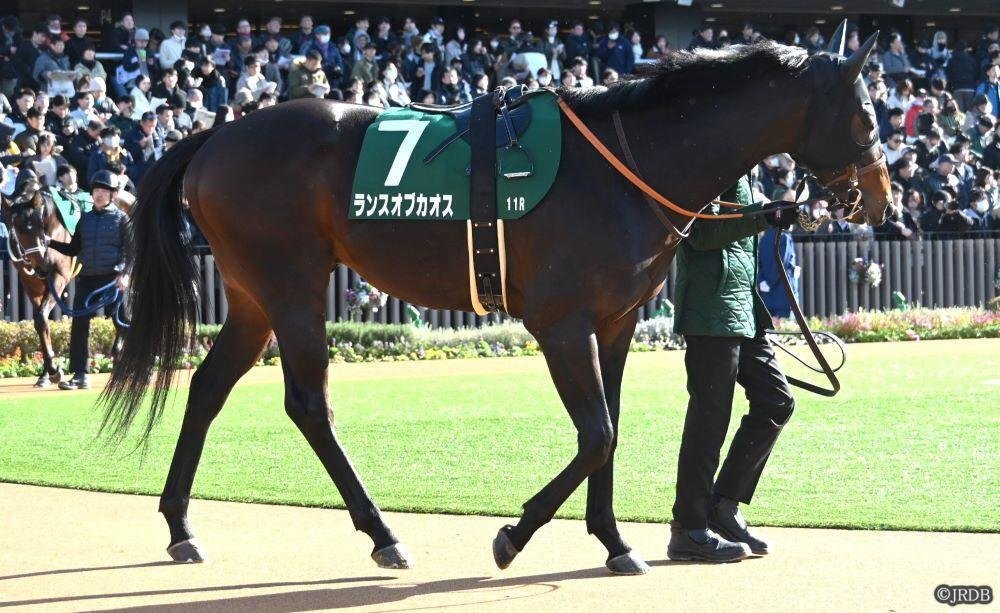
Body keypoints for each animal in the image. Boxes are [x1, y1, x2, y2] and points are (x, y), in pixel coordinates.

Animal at [1, 171, 74, 387]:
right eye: (18, 229)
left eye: (40, 225)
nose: (42, 265)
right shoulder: (31, 282)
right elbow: (40, 321)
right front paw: (49, 372)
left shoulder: (59, 276)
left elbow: (42, 316)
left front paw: (54, 370)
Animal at [102, 34, 892, 574]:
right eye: (866, 117)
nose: (882, 198)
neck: (628, 163)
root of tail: (215, 135)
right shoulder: (561, 324)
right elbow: (597, 432)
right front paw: (514, 534)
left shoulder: (616, 322)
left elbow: (610, 427)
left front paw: (613, 541)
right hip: (292, 287)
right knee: (308, 405)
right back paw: (383, 532)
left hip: (250, 297)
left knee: (207, 387)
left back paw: (180, 525)